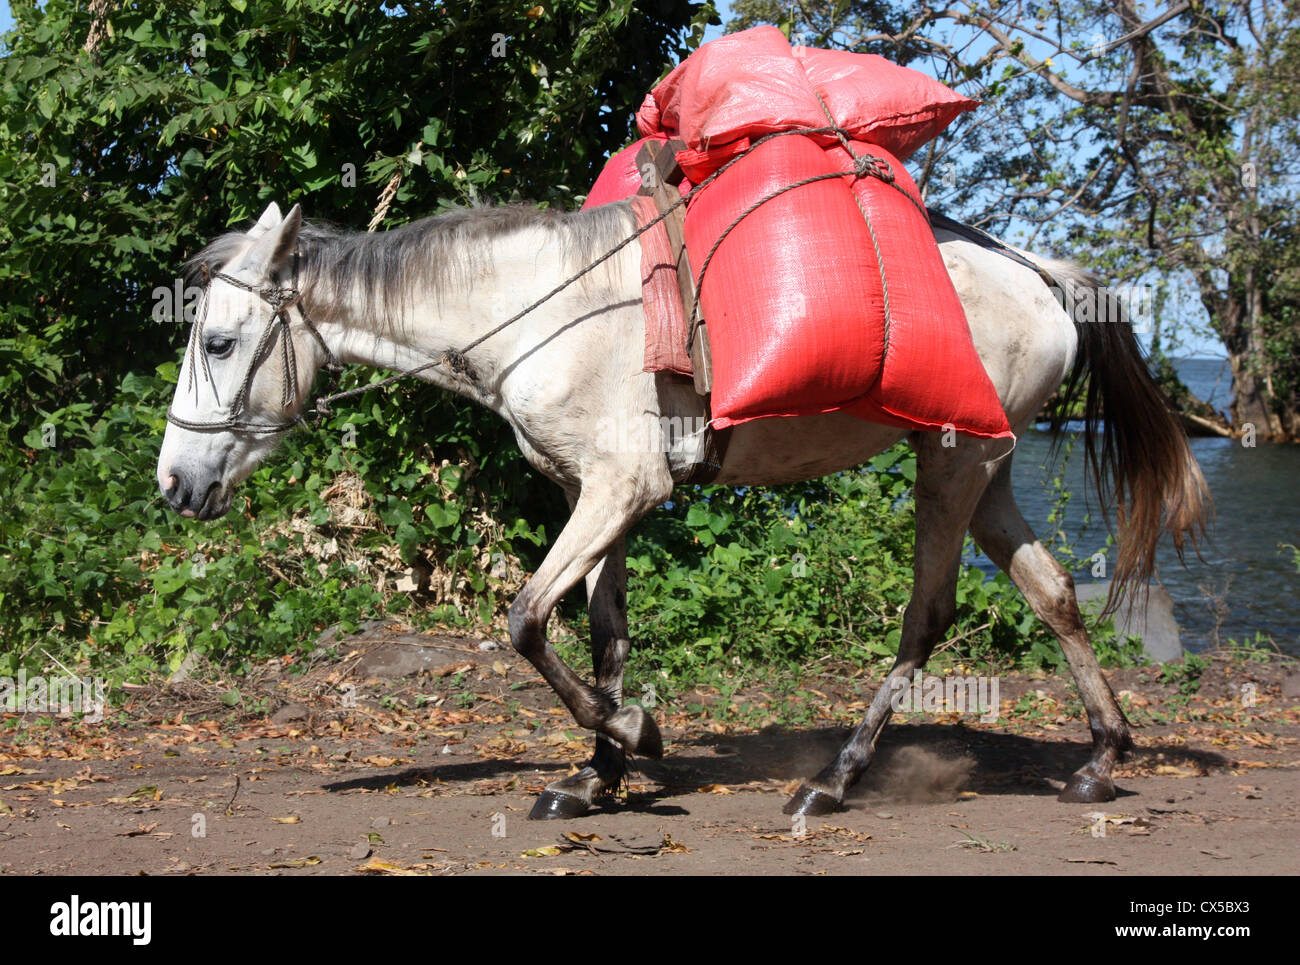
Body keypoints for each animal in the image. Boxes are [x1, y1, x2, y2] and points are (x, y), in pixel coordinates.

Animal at [156, 200, 1207, 820]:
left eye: (218, 342)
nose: (173, 483)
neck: (541, 308)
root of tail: (1037, 270)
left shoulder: (622, 489)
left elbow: (525, 620)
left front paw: (632, 734)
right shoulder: (593, 494)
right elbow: (602, 632)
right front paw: (595, 773)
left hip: (951, 465)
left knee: (929, 614)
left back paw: (837, 777)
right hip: (988, 471)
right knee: (1054, 592)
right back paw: (1101, 756)